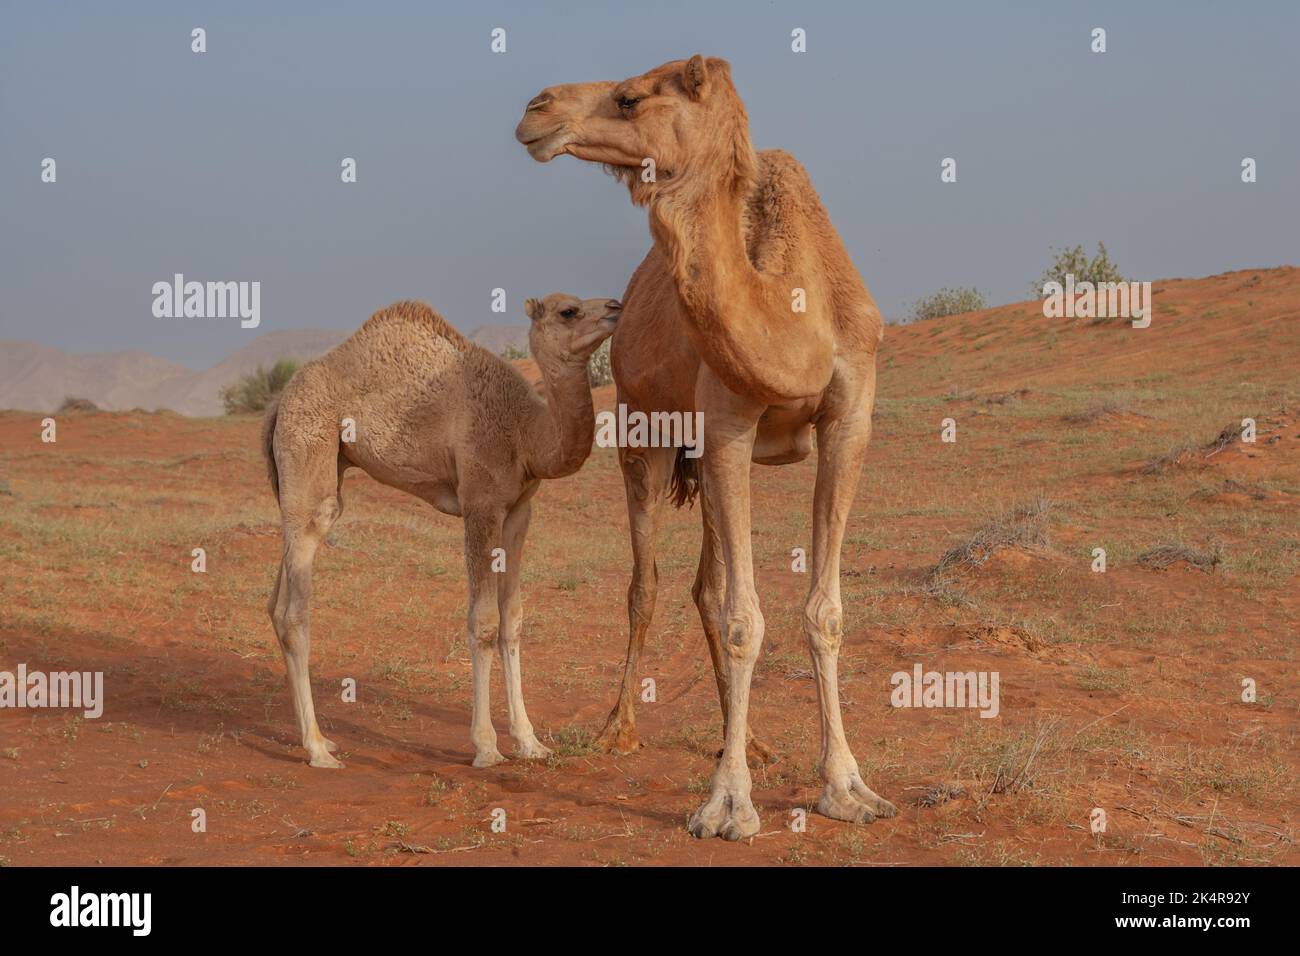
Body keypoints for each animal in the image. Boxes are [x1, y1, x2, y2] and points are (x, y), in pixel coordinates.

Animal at [262, 293, 621, 769]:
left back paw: (318, 739)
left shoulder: (519, 511)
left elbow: (513, 620)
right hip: (308, 447)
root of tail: (279, 401)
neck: (527, 433)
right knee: (295, 602)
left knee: (276, 598)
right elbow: (484, 622)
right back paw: (319, 749)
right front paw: (486, 747)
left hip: (321, 468)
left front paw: (531, 742)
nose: (616, 306)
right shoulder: (480, 503)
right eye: (569, 311)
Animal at [516, 56, 897, 839]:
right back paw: (619, 729)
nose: (536, 109)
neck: (795, 305)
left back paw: (745, 738)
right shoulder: (724, 422)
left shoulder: (850, 418)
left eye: (630, 97)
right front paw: (728, 804)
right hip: (646, 432)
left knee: (705, 585)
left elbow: (822, 611)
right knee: (648, 585)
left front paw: (848, 787)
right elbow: (744, 615)